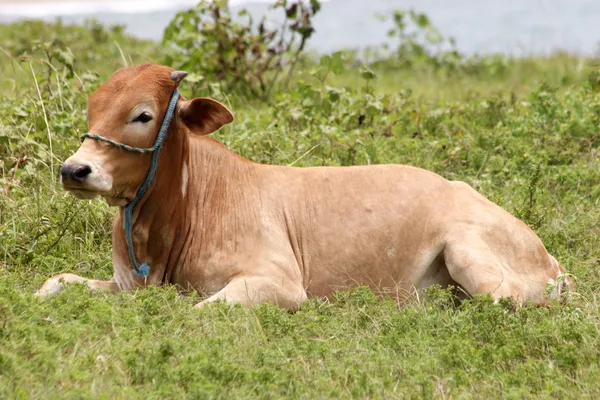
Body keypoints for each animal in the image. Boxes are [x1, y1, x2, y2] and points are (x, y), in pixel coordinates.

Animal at [36, 63, 572, 310]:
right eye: (91, 110)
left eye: (143, 115)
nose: (74, 170)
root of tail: (551, 259)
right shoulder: (125, 282)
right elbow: (55, 282)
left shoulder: (279, 283)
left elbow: (201, 310)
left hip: (470, 254)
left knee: (503, 301)